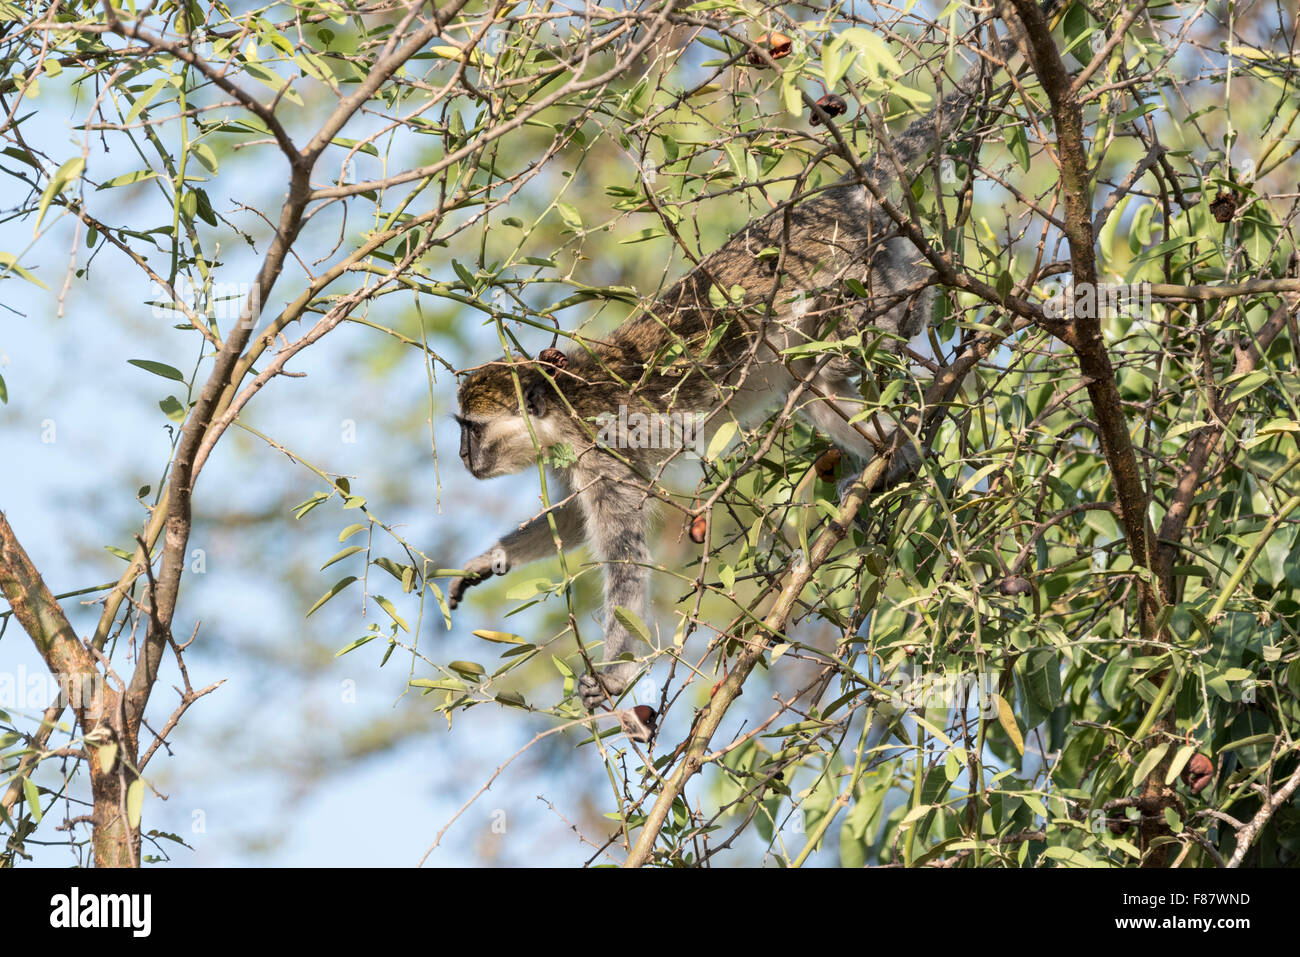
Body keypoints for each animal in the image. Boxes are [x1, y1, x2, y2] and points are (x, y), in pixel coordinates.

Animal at [446, 4, 1061, 724]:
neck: (566, 406)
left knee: (833, 355)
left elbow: (624, 562)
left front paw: (618, 671)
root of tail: (840, 196)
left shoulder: (603, 457)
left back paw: (910, 381)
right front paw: (487, 561)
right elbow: (571, 523)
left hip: (855, 270)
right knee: (829, 364)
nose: (462, 458)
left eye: (471, 430)